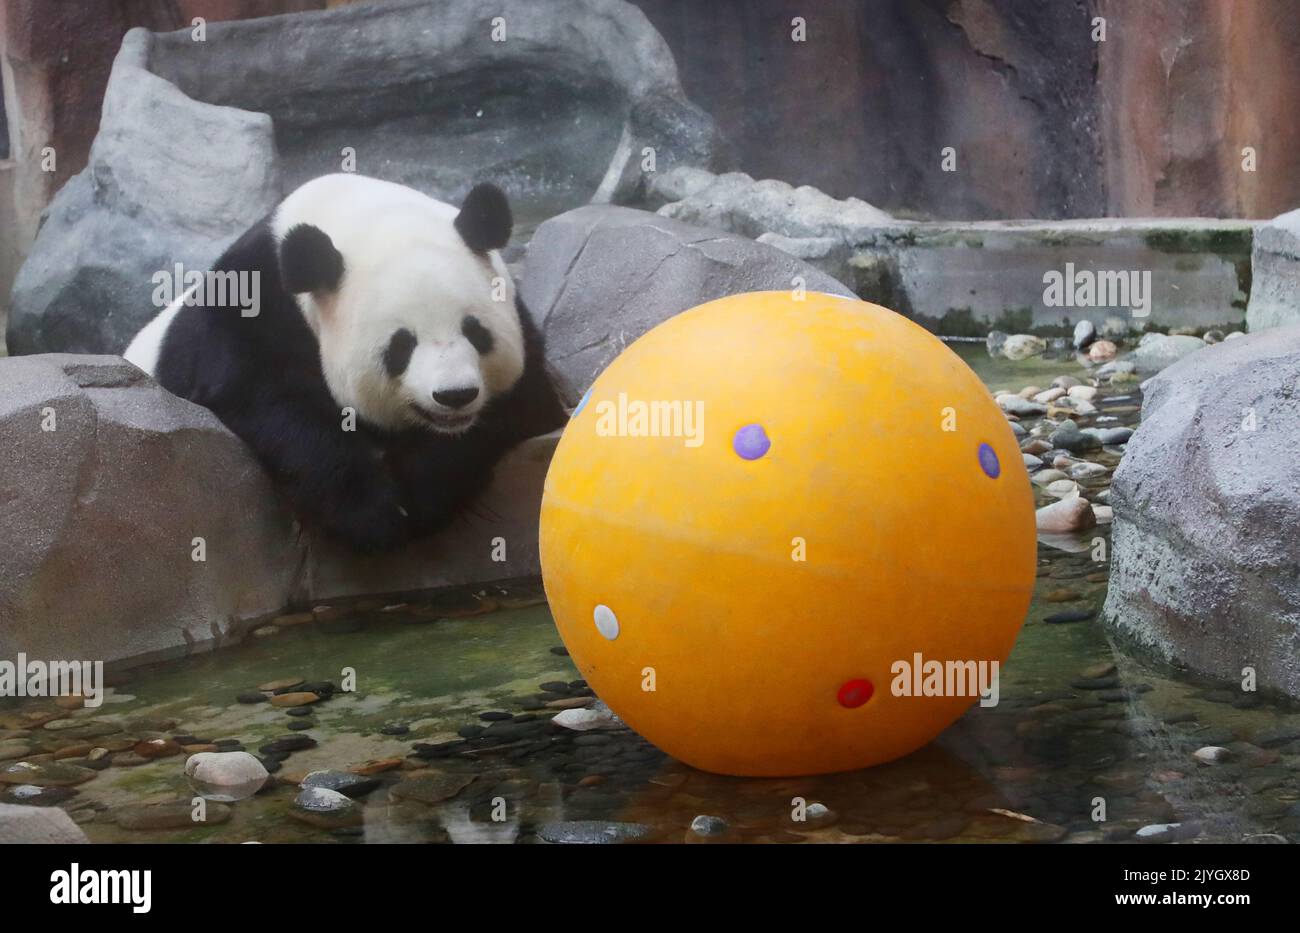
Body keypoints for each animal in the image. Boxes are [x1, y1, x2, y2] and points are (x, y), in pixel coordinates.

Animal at [125, 173, 567, 552]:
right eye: (401, 345)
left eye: (476, 332)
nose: (455, 395)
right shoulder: (245, 319)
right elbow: (273, 402)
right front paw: (370, 512)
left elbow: (519, 405)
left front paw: (419, 493)